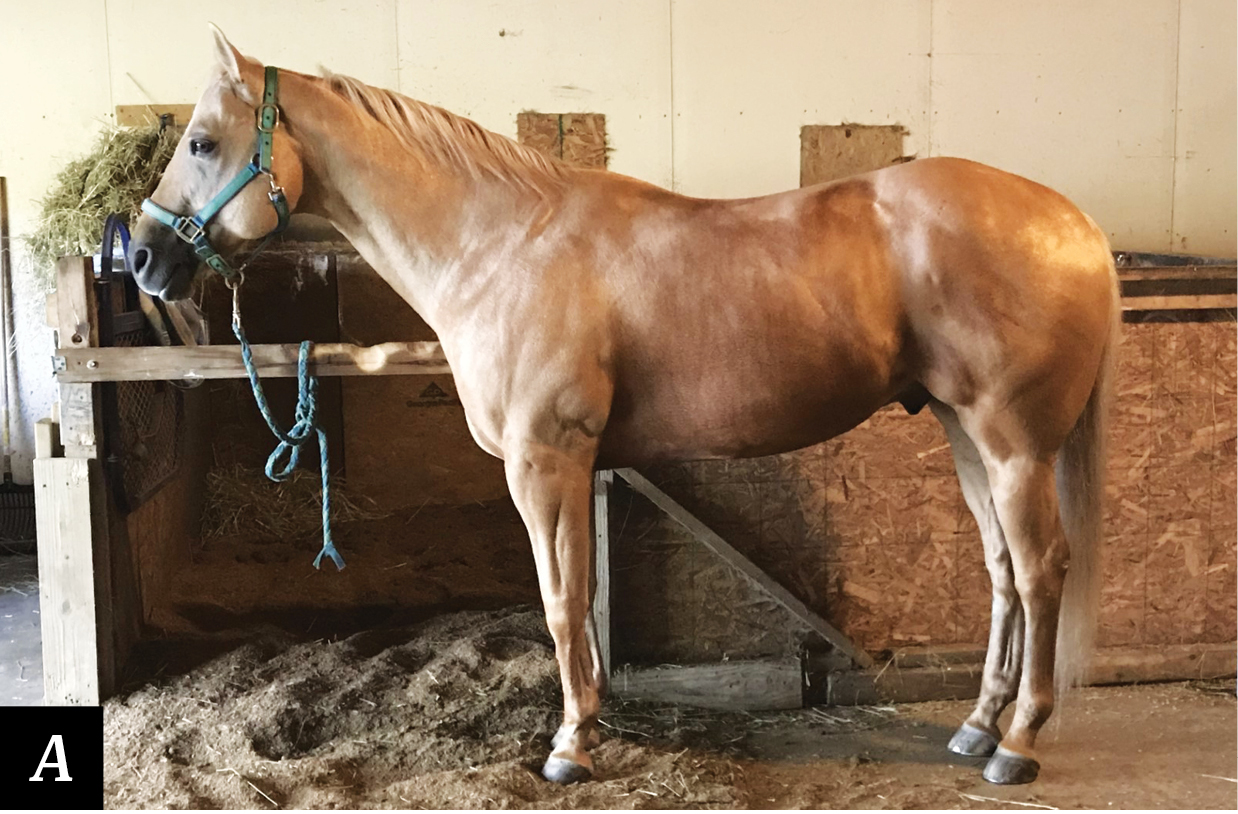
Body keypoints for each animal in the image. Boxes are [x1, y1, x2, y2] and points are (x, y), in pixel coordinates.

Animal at [128, 25, 1120, 787]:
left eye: (202, 143)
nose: (140, 257)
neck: (501, 245)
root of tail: (1074, 226)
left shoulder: (544, 462)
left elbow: (560, 600)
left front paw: (569, 747)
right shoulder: (580, 466)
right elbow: (585, 595)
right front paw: (593, 719)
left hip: (1013, 443)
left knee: (1040, 572)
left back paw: (1017, 745)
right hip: (964, 433)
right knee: (1001, 573)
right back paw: (975, 728)